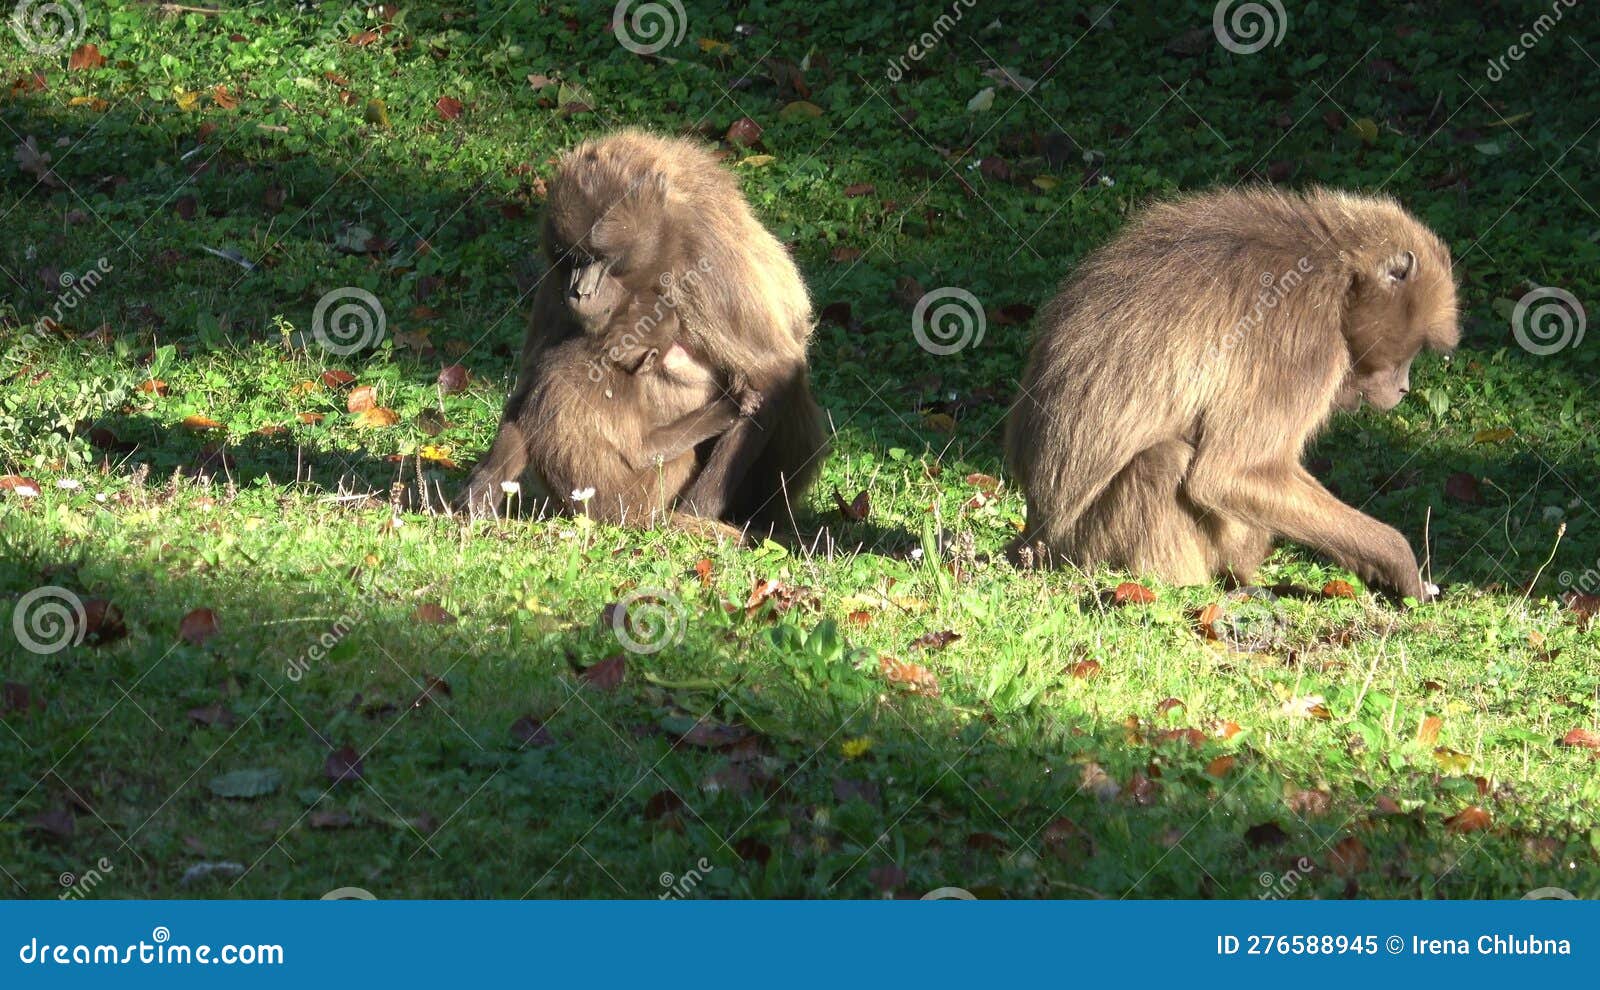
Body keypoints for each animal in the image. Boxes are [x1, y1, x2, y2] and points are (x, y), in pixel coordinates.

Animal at [460, 129, 824, 526]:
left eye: (600, 258)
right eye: (572, 257)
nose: (581, 292)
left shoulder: (705, 260)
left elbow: (773, 371)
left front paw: (693, 517)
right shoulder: (555, 280)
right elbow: (532, 383)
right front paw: (483, 488)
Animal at [1005, 187, 1459, 601]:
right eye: (1412, 350)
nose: (1403, 387)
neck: (1336, 270)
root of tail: (1037, 539)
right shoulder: (1305, 341)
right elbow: (1228, 476)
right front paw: (1398, 559)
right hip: (1090, 543)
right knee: (1164, 460)